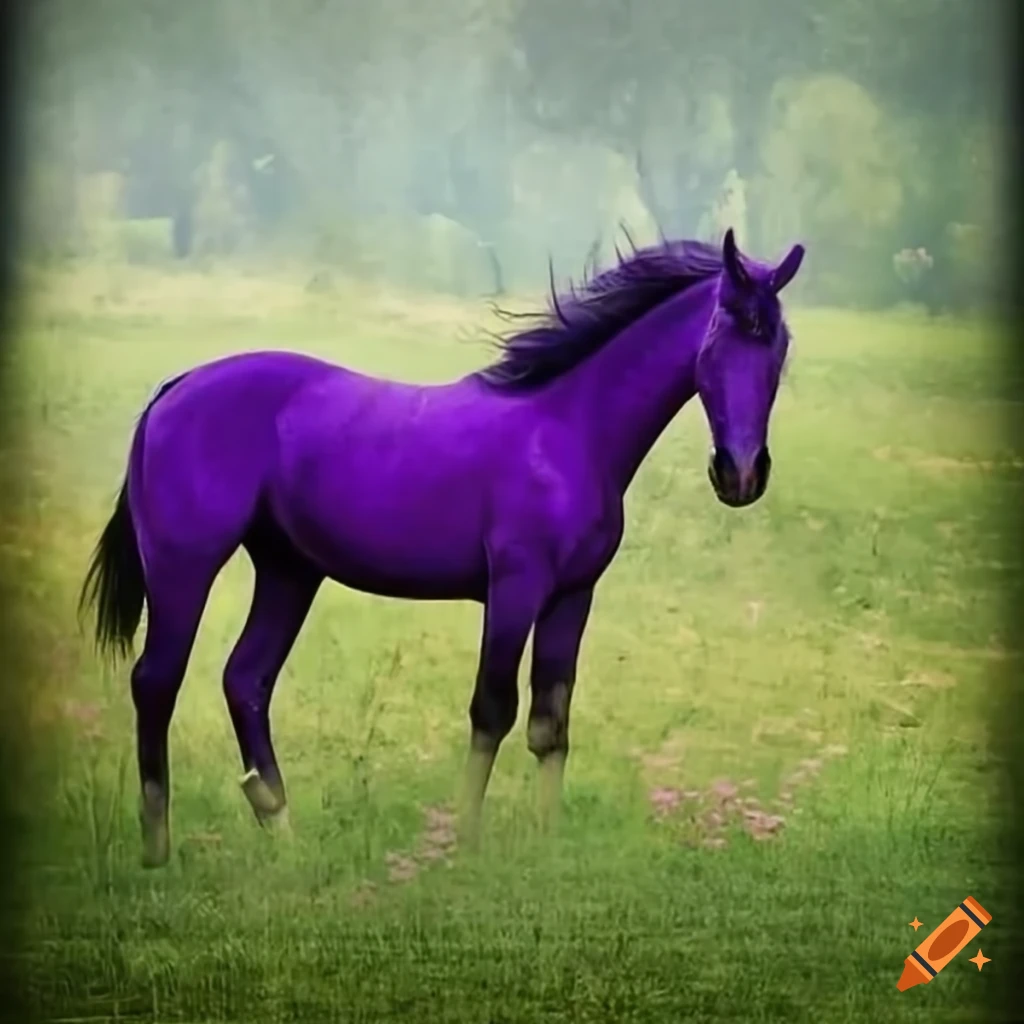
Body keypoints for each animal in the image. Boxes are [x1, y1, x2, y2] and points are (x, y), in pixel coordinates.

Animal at [79, 228, 805, 868]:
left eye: (778, 344)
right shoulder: (515, 588)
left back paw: (280, 827)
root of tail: (174, 390)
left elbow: (550, 722)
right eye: (720, 336)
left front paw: (545, 844)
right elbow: (492, 710)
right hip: (185, 567)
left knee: (246, 680)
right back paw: (158, 847)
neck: (568, 432)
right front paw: (465, 842)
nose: (741, 474)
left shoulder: (572, 596)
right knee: (157, 682)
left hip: (288, 572)